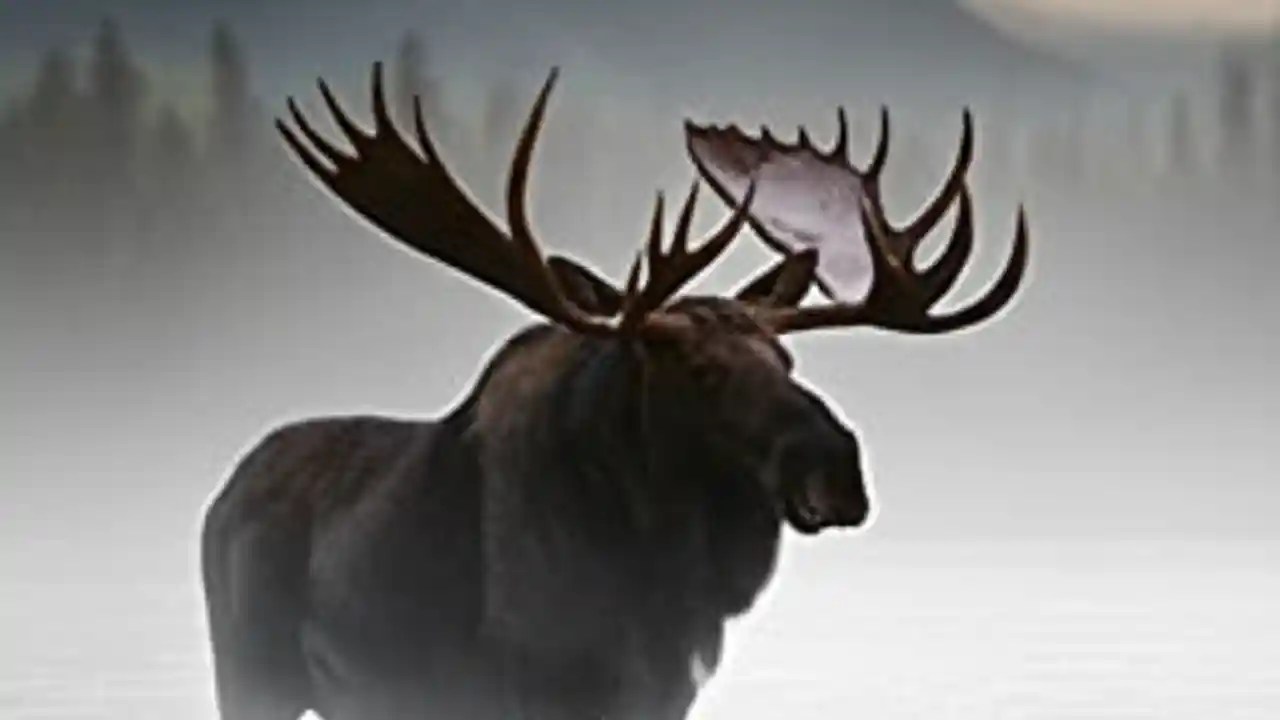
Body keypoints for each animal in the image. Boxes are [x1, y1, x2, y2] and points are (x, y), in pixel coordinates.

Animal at [201, 62, 1029, 720]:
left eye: (788, 360)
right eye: (698, 370)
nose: (836, 466)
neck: (655, 573)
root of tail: (224, 492)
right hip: (252, 675)